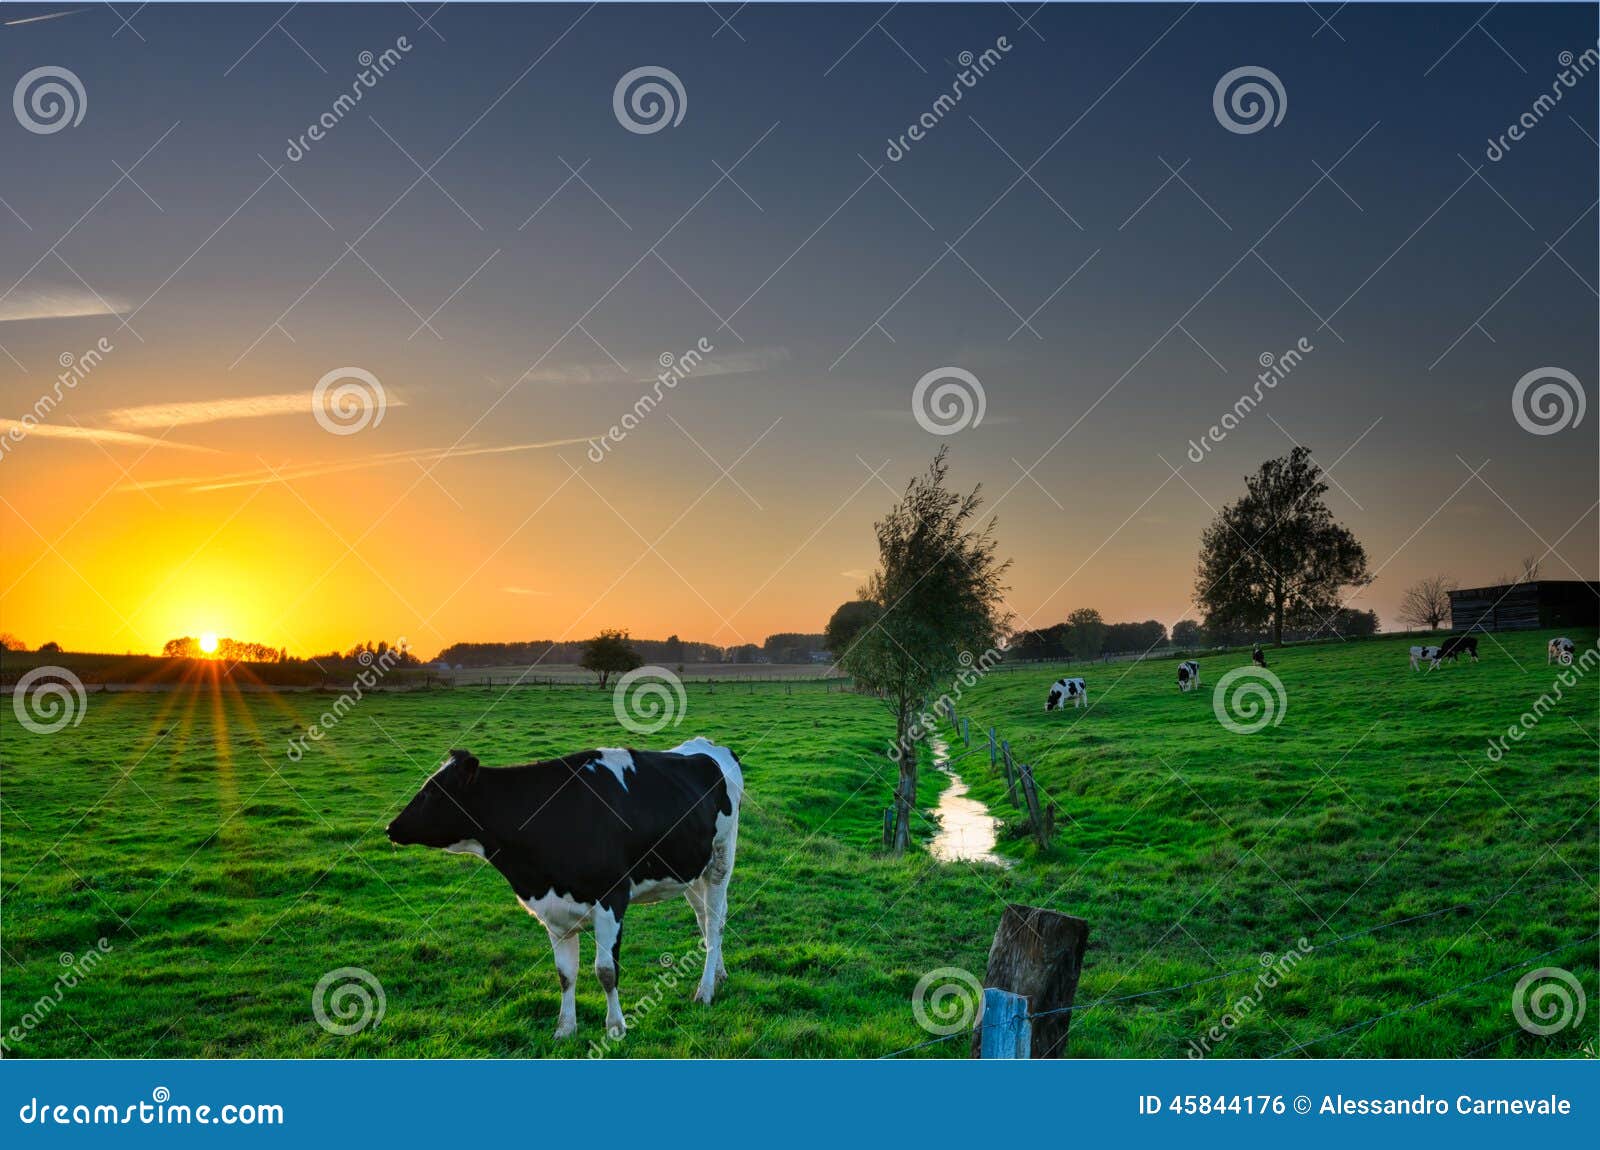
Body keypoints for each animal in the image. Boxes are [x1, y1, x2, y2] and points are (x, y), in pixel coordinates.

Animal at [386, 737, 743, 1040]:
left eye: (434, 792)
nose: (391, 828)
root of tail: (708, 746)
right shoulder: (554, 911)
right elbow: (565, 974)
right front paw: (565, 1029)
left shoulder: (612, 900)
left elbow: (606, 971)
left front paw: (616, 1027)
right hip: (691, 871)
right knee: (706, 920)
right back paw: (719, 974)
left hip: (720, 861)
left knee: (714, 925)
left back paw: (705, 990)